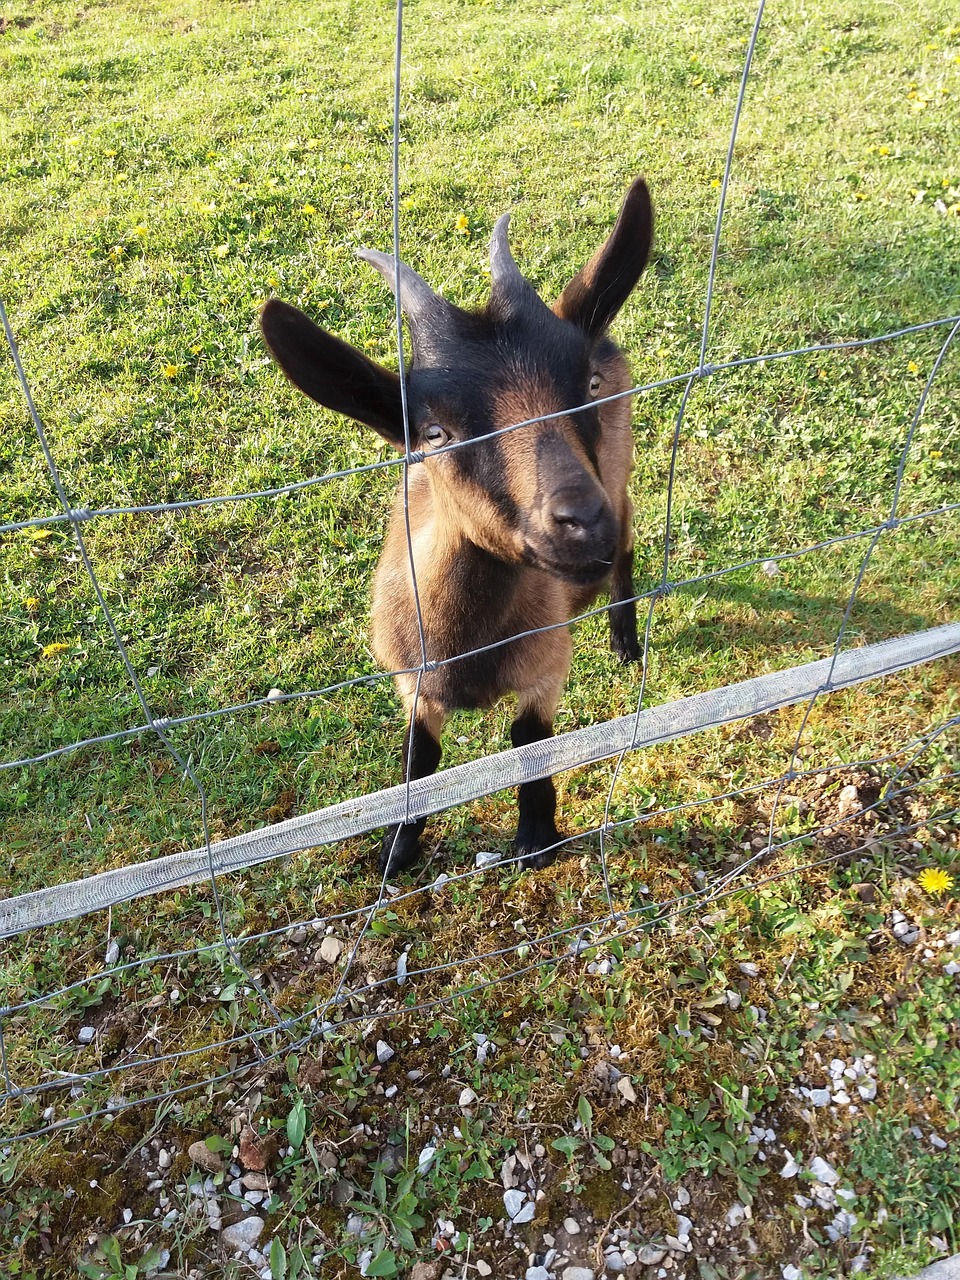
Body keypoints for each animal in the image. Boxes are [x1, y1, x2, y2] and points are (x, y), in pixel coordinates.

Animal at [260, 177, 653, 875]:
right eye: (434, 432)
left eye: (585, 385)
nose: (582, 522)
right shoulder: (409, 683)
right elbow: (420, 759)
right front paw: (397, 853)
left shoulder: (545, 662)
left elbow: (529, 737)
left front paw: (534, 839)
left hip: (623, 470)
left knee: (632, 538)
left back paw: (624, 640)